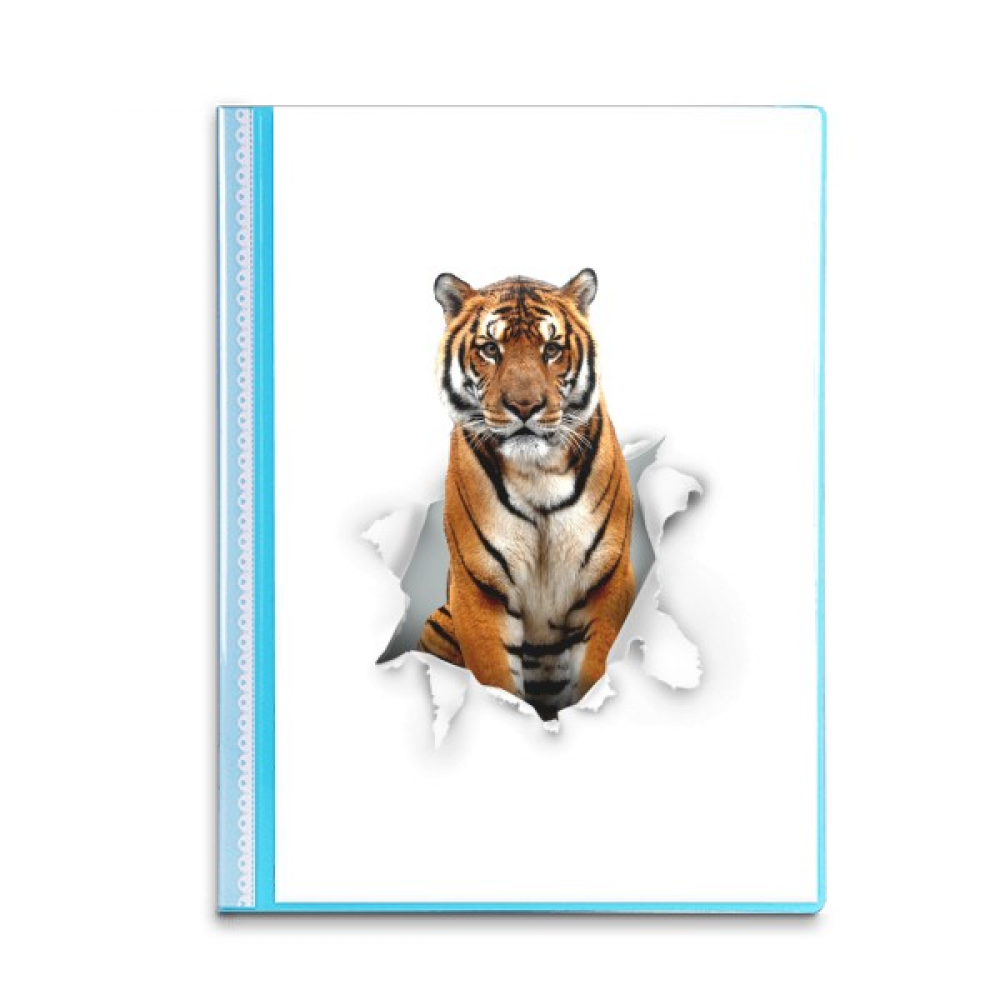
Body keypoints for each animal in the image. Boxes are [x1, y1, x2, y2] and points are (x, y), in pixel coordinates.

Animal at [417, 269, 635, 721]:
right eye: (490, 348)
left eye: (552, 349)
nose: (524, 406)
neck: (539, 474)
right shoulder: (479, 590)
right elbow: (495, 682)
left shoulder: (608, 582)